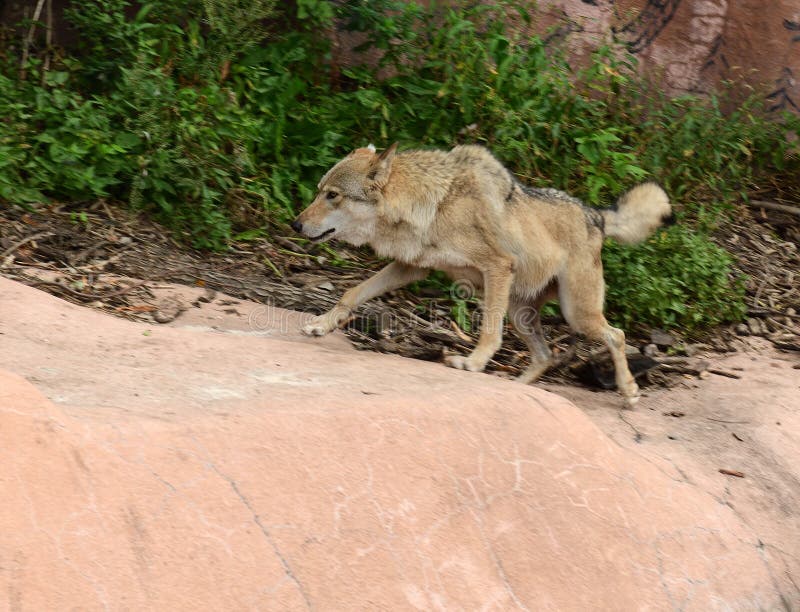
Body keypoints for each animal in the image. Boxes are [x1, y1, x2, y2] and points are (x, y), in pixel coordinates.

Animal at [291, 143, 671, 407]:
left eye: (332, 195)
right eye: (319, 191)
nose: (295, 224)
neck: (435, 204)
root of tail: (597, 215)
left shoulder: (497, 267)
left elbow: (489, 331)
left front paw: (472, 363)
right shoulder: (410, 267)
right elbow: (352, 293)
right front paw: (321, 325)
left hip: (575, 314)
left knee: (617, 335)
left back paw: (629, 391)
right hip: (521, 315)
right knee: (546, 356)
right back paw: (515, 391)